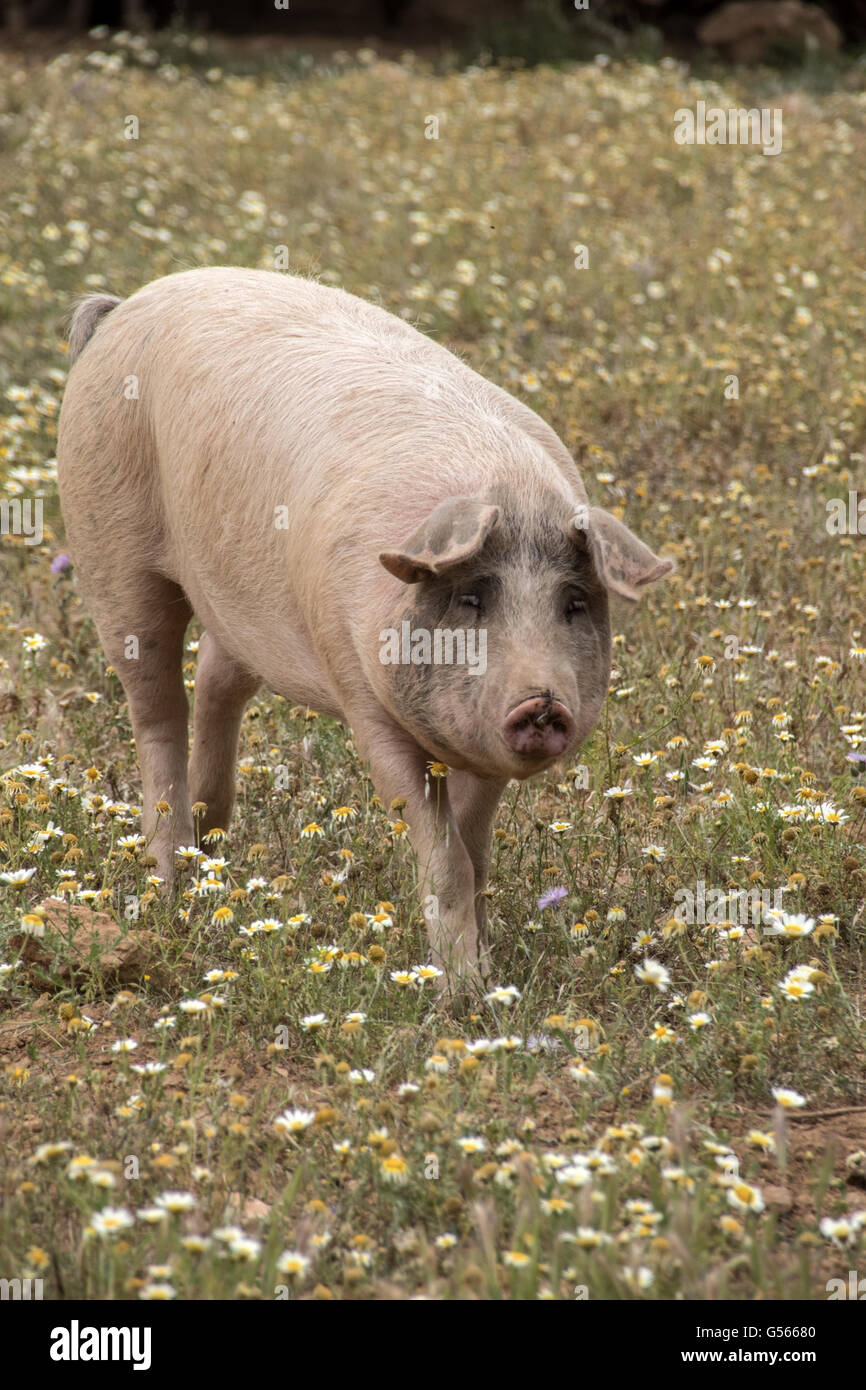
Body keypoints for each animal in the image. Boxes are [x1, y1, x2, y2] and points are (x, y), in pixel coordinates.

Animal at [57, 267, 673, 992]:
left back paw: (212, 849)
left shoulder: (483, 744)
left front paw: (488, 975)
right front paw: (462, 995)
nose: (540, 703)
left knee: (215, 683)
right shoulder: (360, 694)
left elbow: (471, 850)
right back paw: (170, 885)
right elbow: (444, 854)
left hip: (236, 598)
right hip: (111, 550)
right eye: (471, 598)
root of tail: (124, 306)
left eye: (574, 602)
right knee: (156, 710)